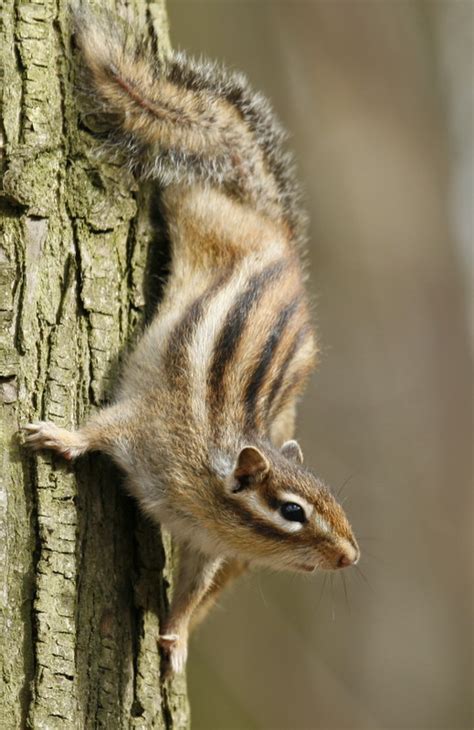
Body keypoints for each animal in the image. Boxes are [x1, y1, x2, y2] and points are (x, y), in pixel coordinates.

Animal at [24, 4, 360, 676]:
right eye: (291, 510)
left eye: (334, 503)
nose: (350, 557)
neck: (209, 495)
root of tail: (276, 234)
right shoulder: (149, 427)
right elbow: (102, 427)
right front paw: (60, 436)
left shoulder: (205, 547)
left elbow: (192, 587)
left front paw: (174, 638)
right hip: (203, 214)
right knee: (188, 187)